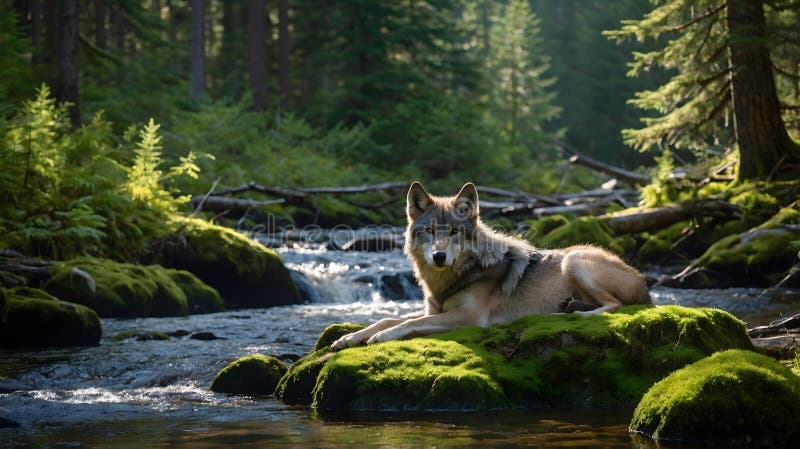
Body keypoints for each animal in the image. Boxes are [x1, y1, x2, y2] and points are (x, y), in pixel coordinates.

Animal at [331, 182, 651, 350]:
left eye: (453, 232)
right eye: (430, 231)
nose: (439, 256)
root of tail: (643, 282)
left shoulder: (468, 317)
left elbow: (409, 323)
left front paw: (380, 337)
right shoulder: (434, 310)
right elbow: (388, 318)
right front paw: (349, 337)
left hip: (574, 260)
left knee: (614, 305)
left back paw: (575, 315)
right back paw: (571, 307)